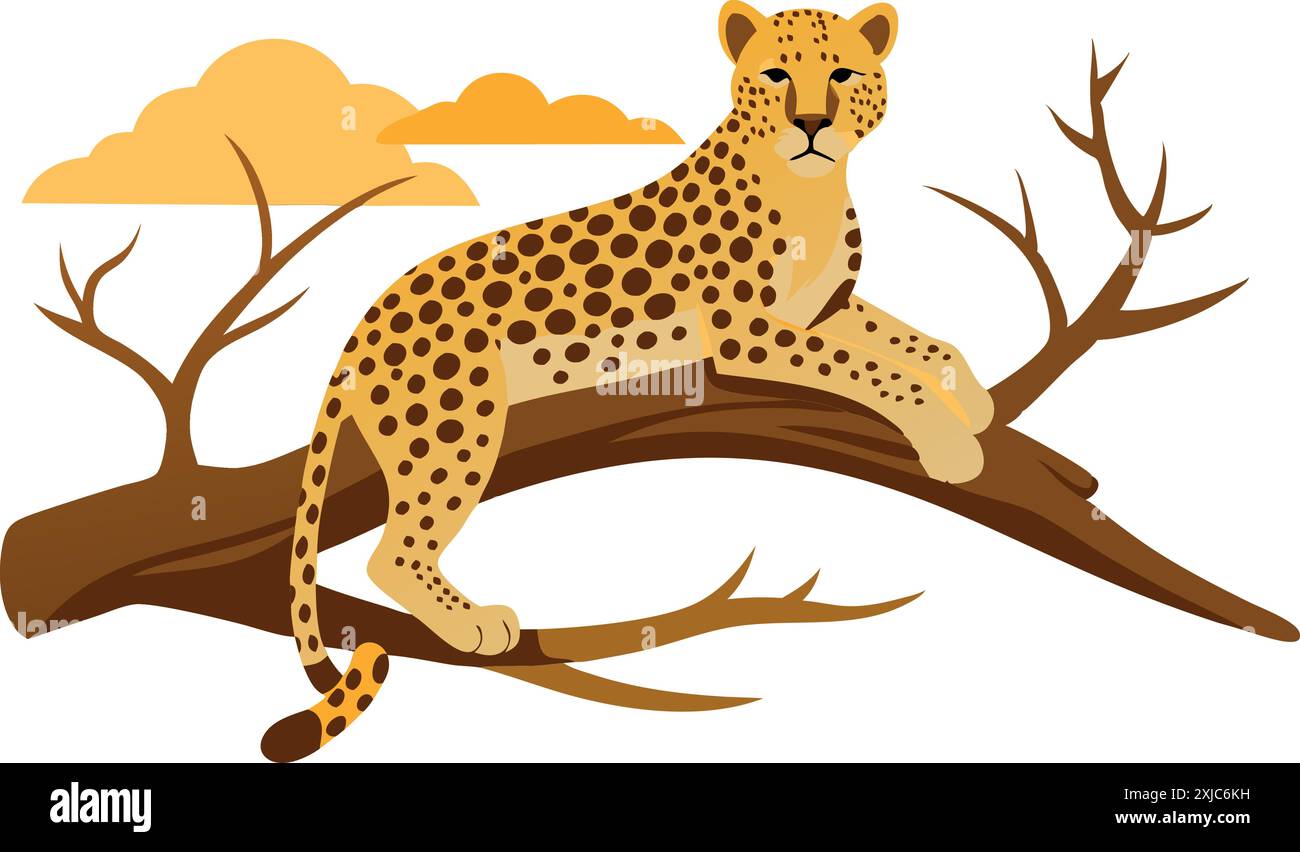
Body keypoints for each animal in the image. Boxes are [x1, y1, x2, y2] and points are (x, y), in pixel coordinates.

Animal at [261, 1, 994, 761]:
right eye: (776, 74)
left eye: (843, 73)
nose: (814, 123)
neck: (810, 190)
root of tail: (363, 324)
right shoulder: (748, 332)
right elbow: (873, 368)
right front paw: (949, 444)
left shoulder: (827, 309)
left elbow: (919, 342)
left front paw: (971, 399)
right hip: (455, 427)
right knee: (394, 554)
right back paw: (474, 623)